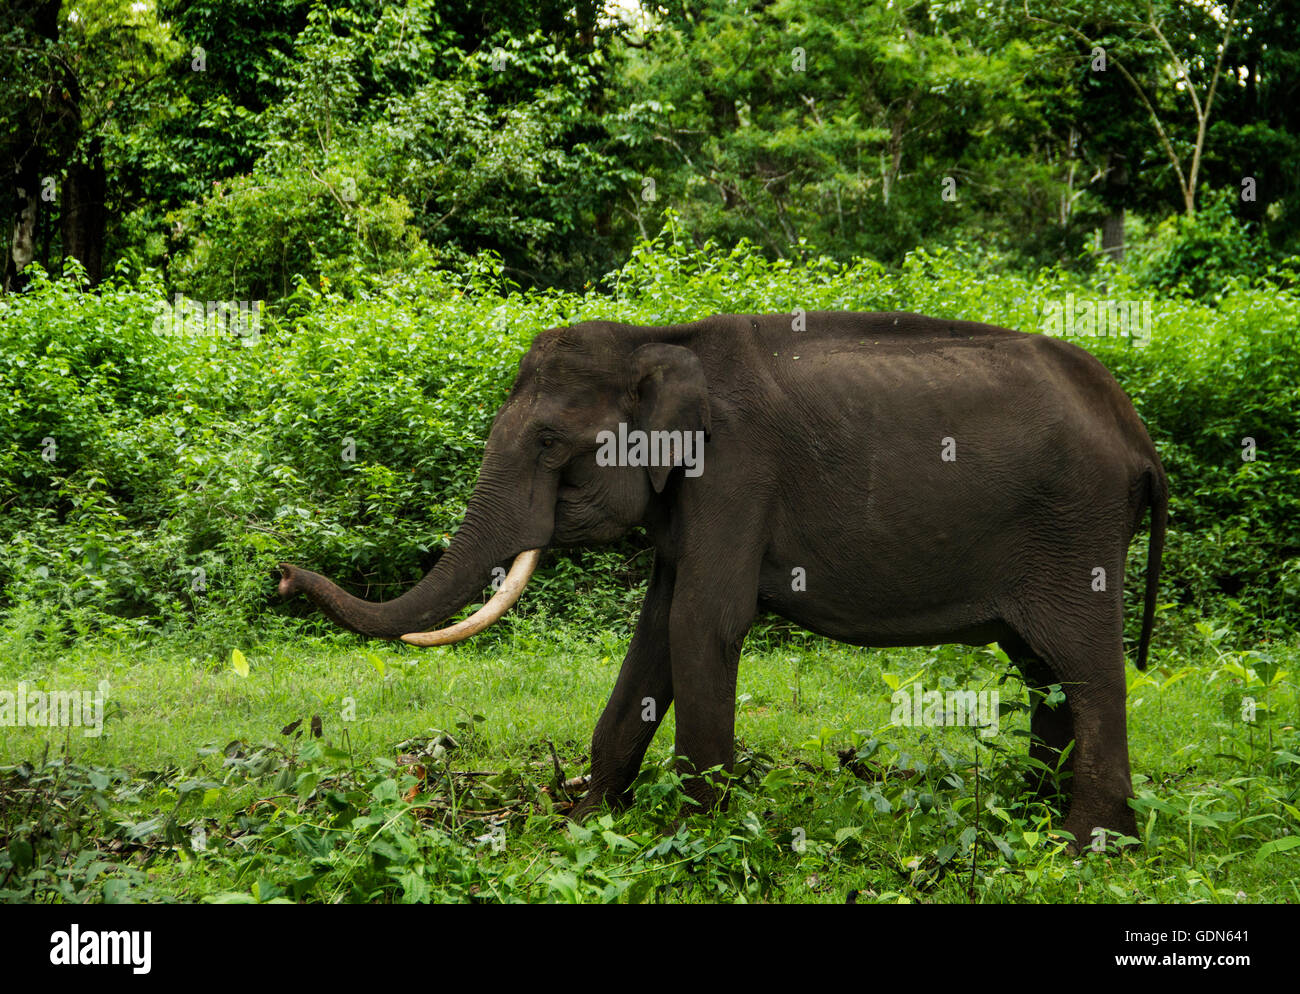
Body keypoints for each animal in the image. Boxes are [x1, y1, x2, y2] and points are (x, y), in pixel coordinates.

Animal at [277, 310, 1168, 846]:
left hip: (1075, 528)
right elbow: (656, 633)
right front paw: (586, 820)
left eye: (548, 444)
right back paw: (1032, 813)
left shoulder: (736, 473)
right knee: (1041, 667)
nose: (283, 575)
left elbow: (702, 623)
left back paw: (1088, 844)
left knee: (1084, 665)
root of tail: (1136, 432)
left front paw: (699, 835)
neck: (658, 339)